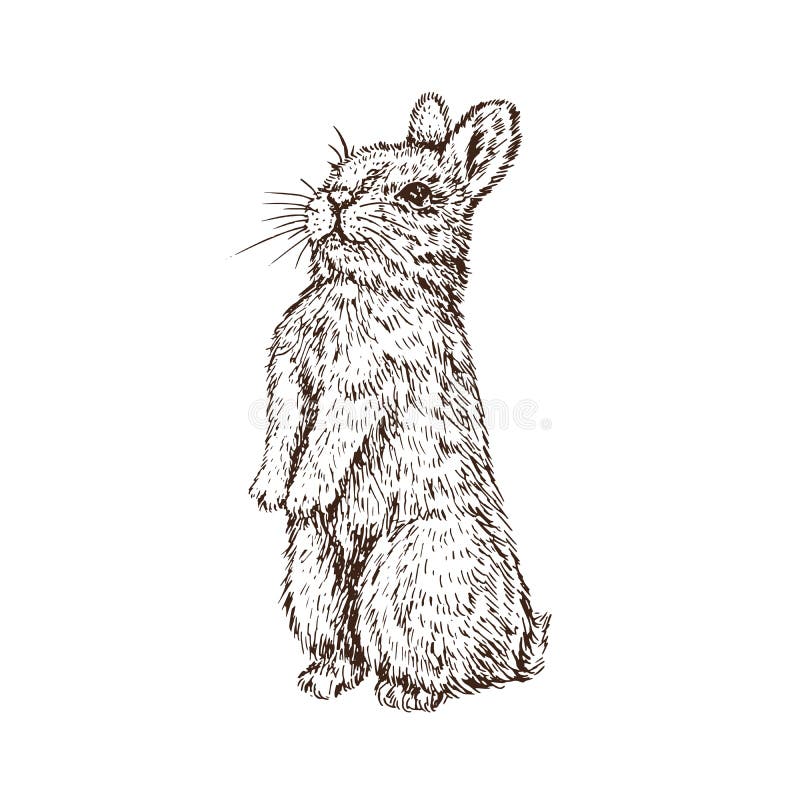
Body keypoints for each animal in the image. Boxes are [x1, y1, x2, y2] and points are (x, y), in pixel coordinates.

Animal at [248, 93, 550, 712]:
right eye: (338, 171)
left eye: (417, 196)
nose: (336, 199)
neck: (361, 289)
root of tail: (517, 645)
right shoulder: (289, 372)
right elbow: (284, 424)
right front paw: (268, 493)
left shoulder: (366, 386)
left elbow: (331, 435)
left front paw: (304, 494)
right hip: (314, 575)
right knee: (345, 640)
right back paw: (323, 680)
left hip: (412, 579)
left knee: (440, 667)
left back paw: (405, 694)